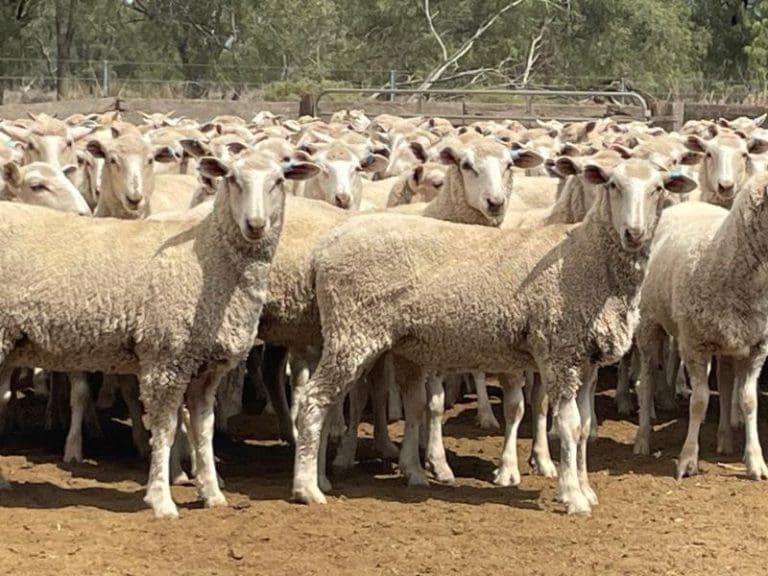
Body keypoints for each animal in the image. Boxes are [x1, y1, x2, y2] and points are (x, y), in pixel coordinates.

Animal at [0, 152, 320, 517]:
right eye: (232, 179)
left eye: (279, 181)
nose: (255, 224)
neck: (211, 257)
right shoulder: (165, 358)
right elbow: (165, 431)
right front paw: (161, 499)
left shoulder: (206, 368)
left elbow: (204, 430)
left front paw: (212, 494)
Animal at [292, 157, 695, 513]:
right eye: (612, 185)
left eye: (659, 188)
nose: (634, 233)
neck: (587, 258)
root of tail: (326, 246)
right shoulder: (559, 351)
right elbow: (567, 426)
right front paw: (572, 496)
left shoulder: (585, 359)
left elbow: (582, 428)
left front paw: (585, 489)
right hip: (352, 331)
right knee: (313, 400)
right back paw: (307, 487)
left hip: (370, 338)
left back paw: (344, 475)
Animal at [633, 173, 768, 481]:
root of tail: (682, 206)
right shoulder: (694, 345)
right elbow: (699, 401)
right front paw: (687, 460)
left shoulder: (757, 347)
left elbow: (749, 401)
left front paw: (755, 462)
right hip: (648, 324)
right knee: (646, 379)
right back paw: (643, 439)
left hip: (728, 342)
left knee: (726, 382)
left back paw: (725, 440)